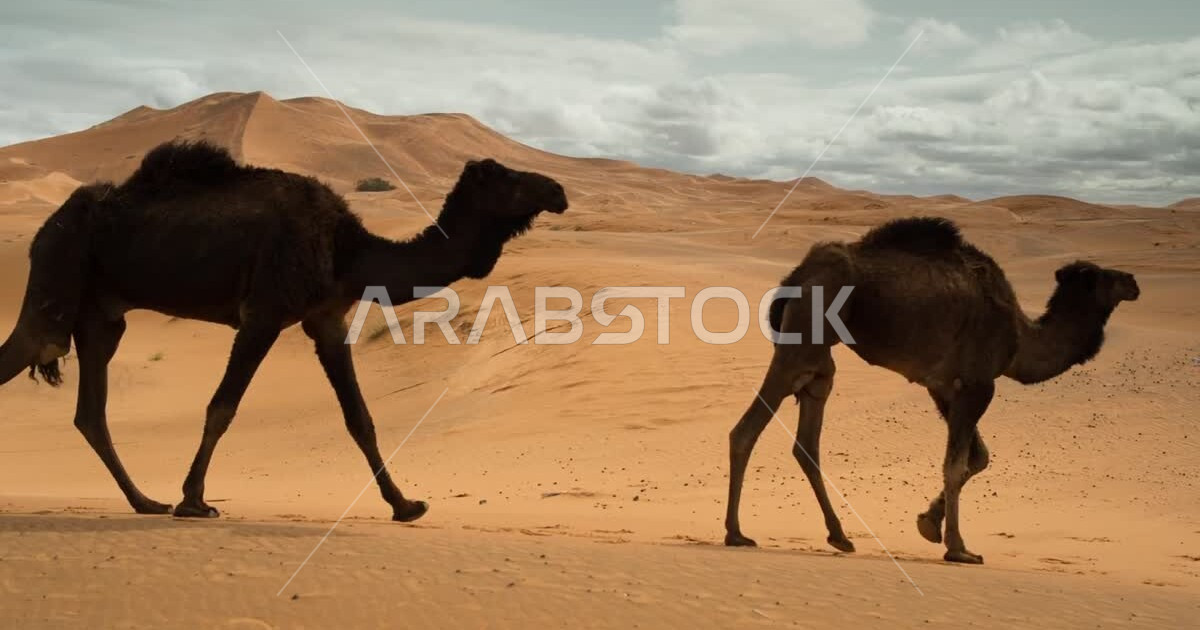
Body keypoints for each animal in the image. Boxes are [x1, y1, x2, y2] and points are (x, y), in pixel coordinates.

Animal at [0, 140, 568, 522]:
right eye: (506, 175)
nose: (558, 189)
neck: (348, 249)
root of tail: (48, 225)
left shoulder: (327, 318)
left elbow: (360, 419)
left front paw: (405, 504)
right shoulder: (266, 312)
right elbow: (222, 407)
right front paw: (194, 501)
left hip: (101, 316)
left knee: (90, 413)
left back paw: (145, 501)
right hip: (55, 281)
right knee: (35, 350)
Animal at [725, 216, 1139, 563]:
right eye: (1105, 276)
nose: (1134, 282)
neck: (1021, 338)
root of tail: (798, 275)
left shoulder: (943, 388)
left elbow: (978, 458)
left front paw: (928, 523)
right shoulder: (977, 384)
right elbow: (956, 465)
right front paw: (959, 548)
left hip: (820, 359)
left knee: (807, 437)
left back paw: (839, 535)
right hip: (806, 333)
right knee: (747, 429)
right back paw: (736, 533)